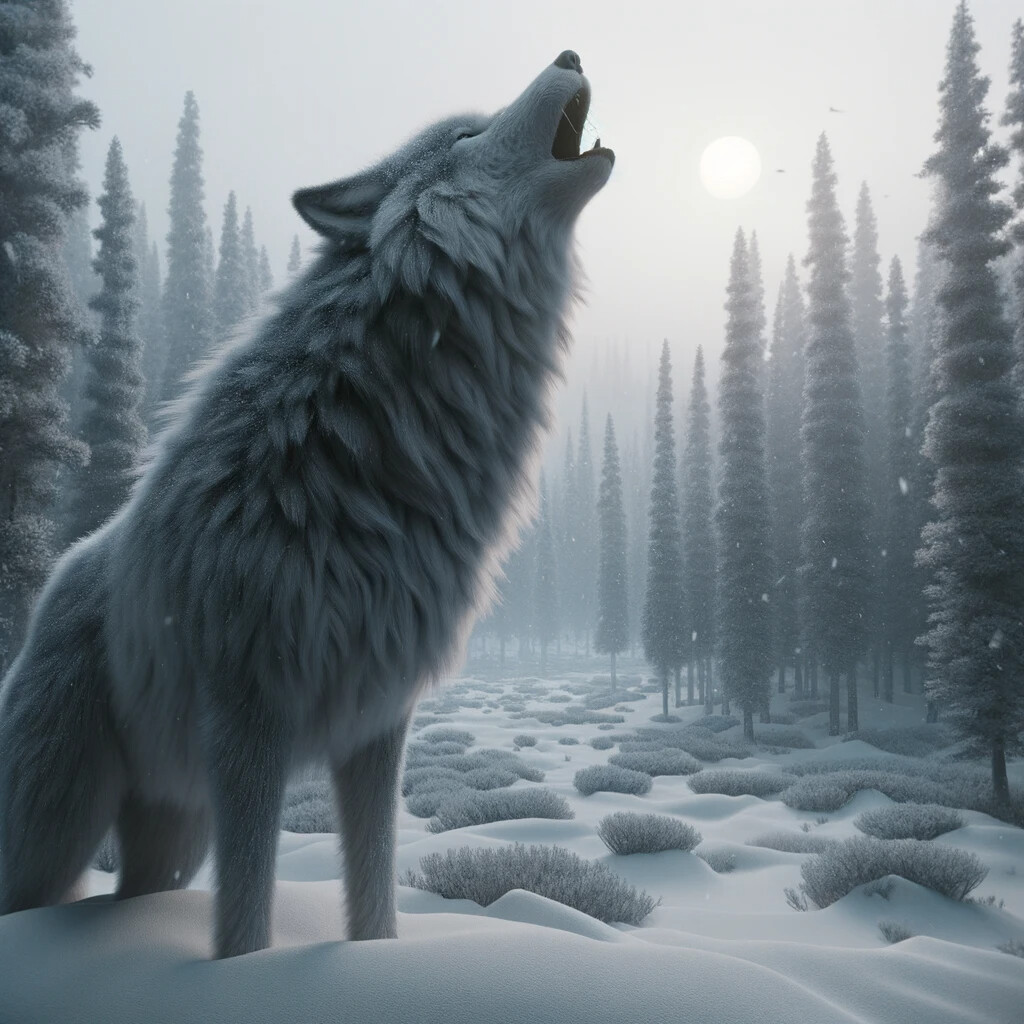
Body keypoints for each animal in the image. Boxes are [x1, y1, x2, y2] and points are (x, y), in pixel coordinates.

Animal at [0, 50, 613, 958]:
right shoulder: (248, 724)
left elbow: (375, 892)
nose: (570, 54)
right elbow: (245, 918)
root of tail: (57, 576)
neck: (366, 442)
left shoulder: (377, 720)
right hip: (59, 825)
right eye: (466, 135)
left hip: (173, 829)